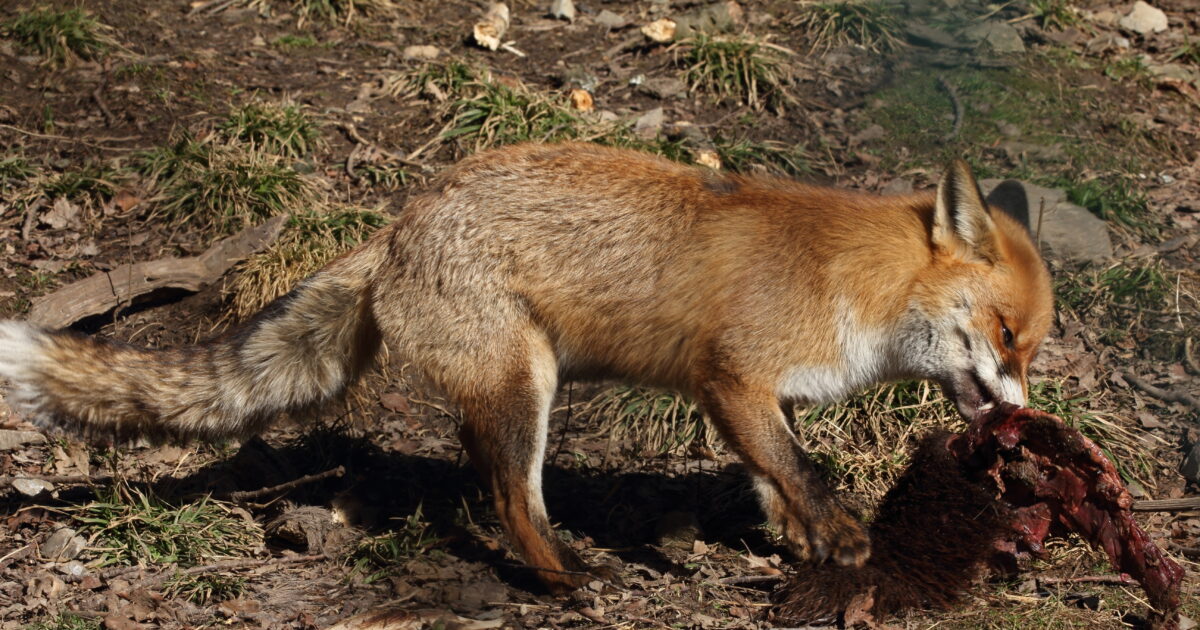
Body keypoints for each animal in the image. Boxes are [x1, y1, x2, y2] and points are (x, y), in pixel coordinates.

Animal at [0, 142, 1053, 594]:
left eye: (1031, 348)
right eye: (1006, 335)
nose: (1021, 415)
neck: (853, 284)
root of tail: (400, 222)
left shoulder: (759, 400)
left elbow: (774, 480)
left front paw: (798, 544)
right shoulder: (732, 379)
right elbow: (806, 472)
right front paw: (844, 544)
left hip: (516, 385)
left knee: (493, 483)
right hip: (525, 385)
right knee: (509, 497)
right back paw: (565, 580)